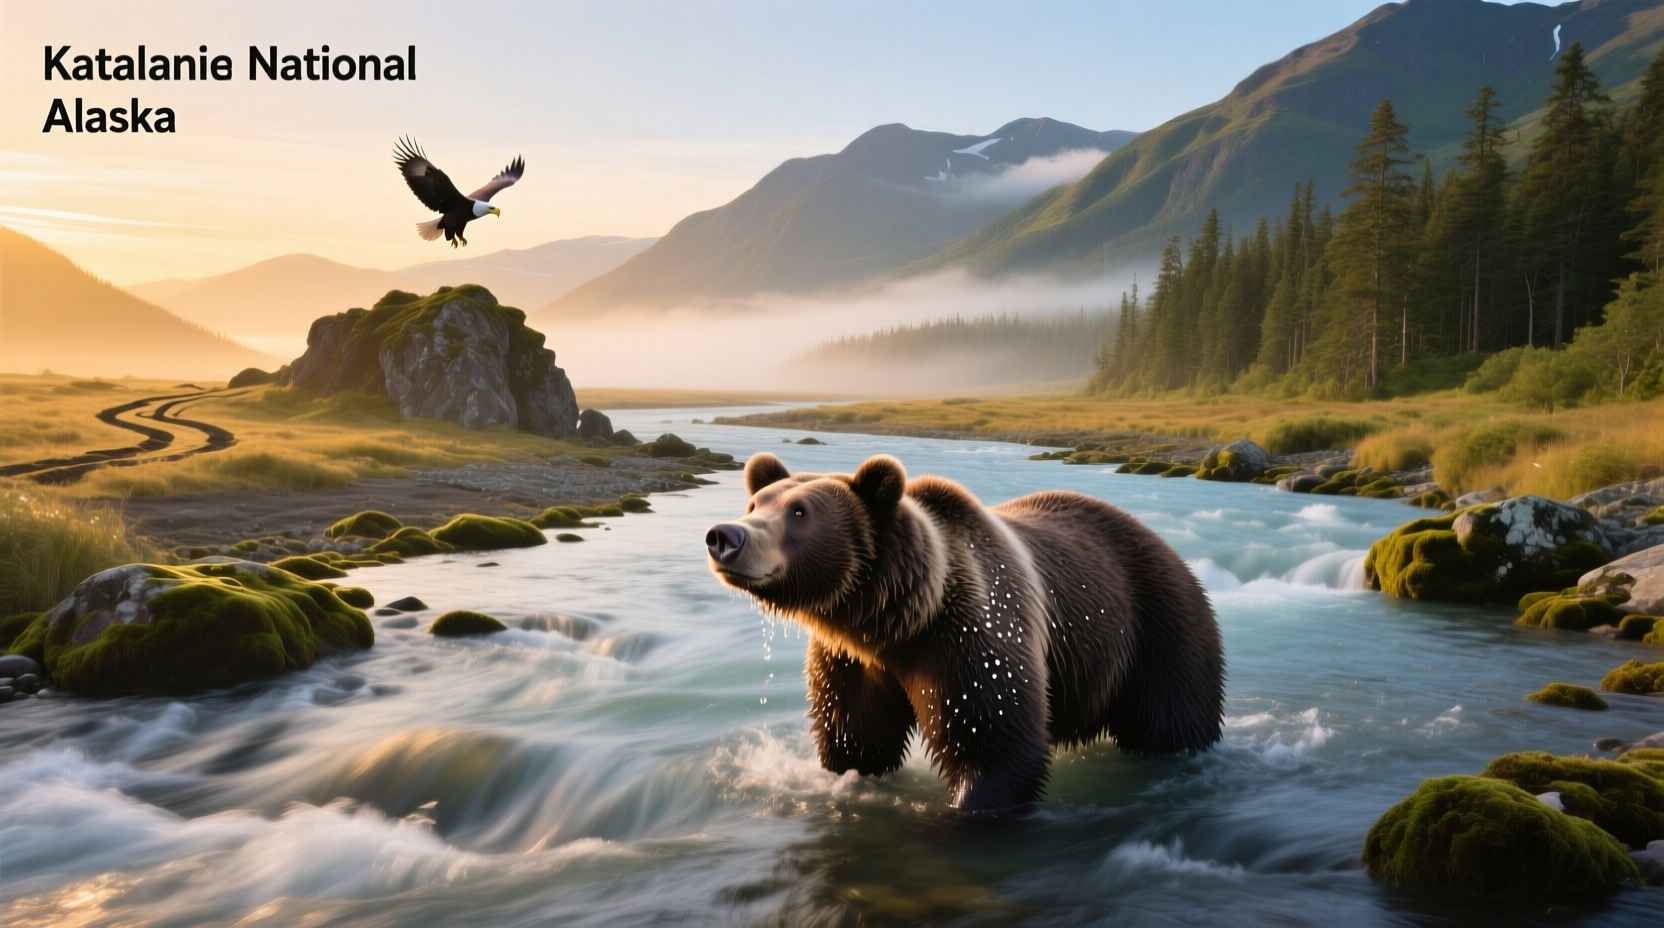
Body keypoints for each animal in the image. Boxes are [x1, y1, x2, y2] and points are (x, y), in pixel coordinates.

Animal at [705, 452, 1225, 812]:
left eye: (799, 512)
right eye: (755, 502)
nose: (725, 536)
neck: (896, 618)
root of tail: (1172, 550)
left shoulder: (971, 630)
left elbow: (993, 739)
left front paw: (969, 807)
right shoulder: (851, 657)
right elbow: (856, 734)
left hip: (1159, 623)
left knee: (1172, 717)